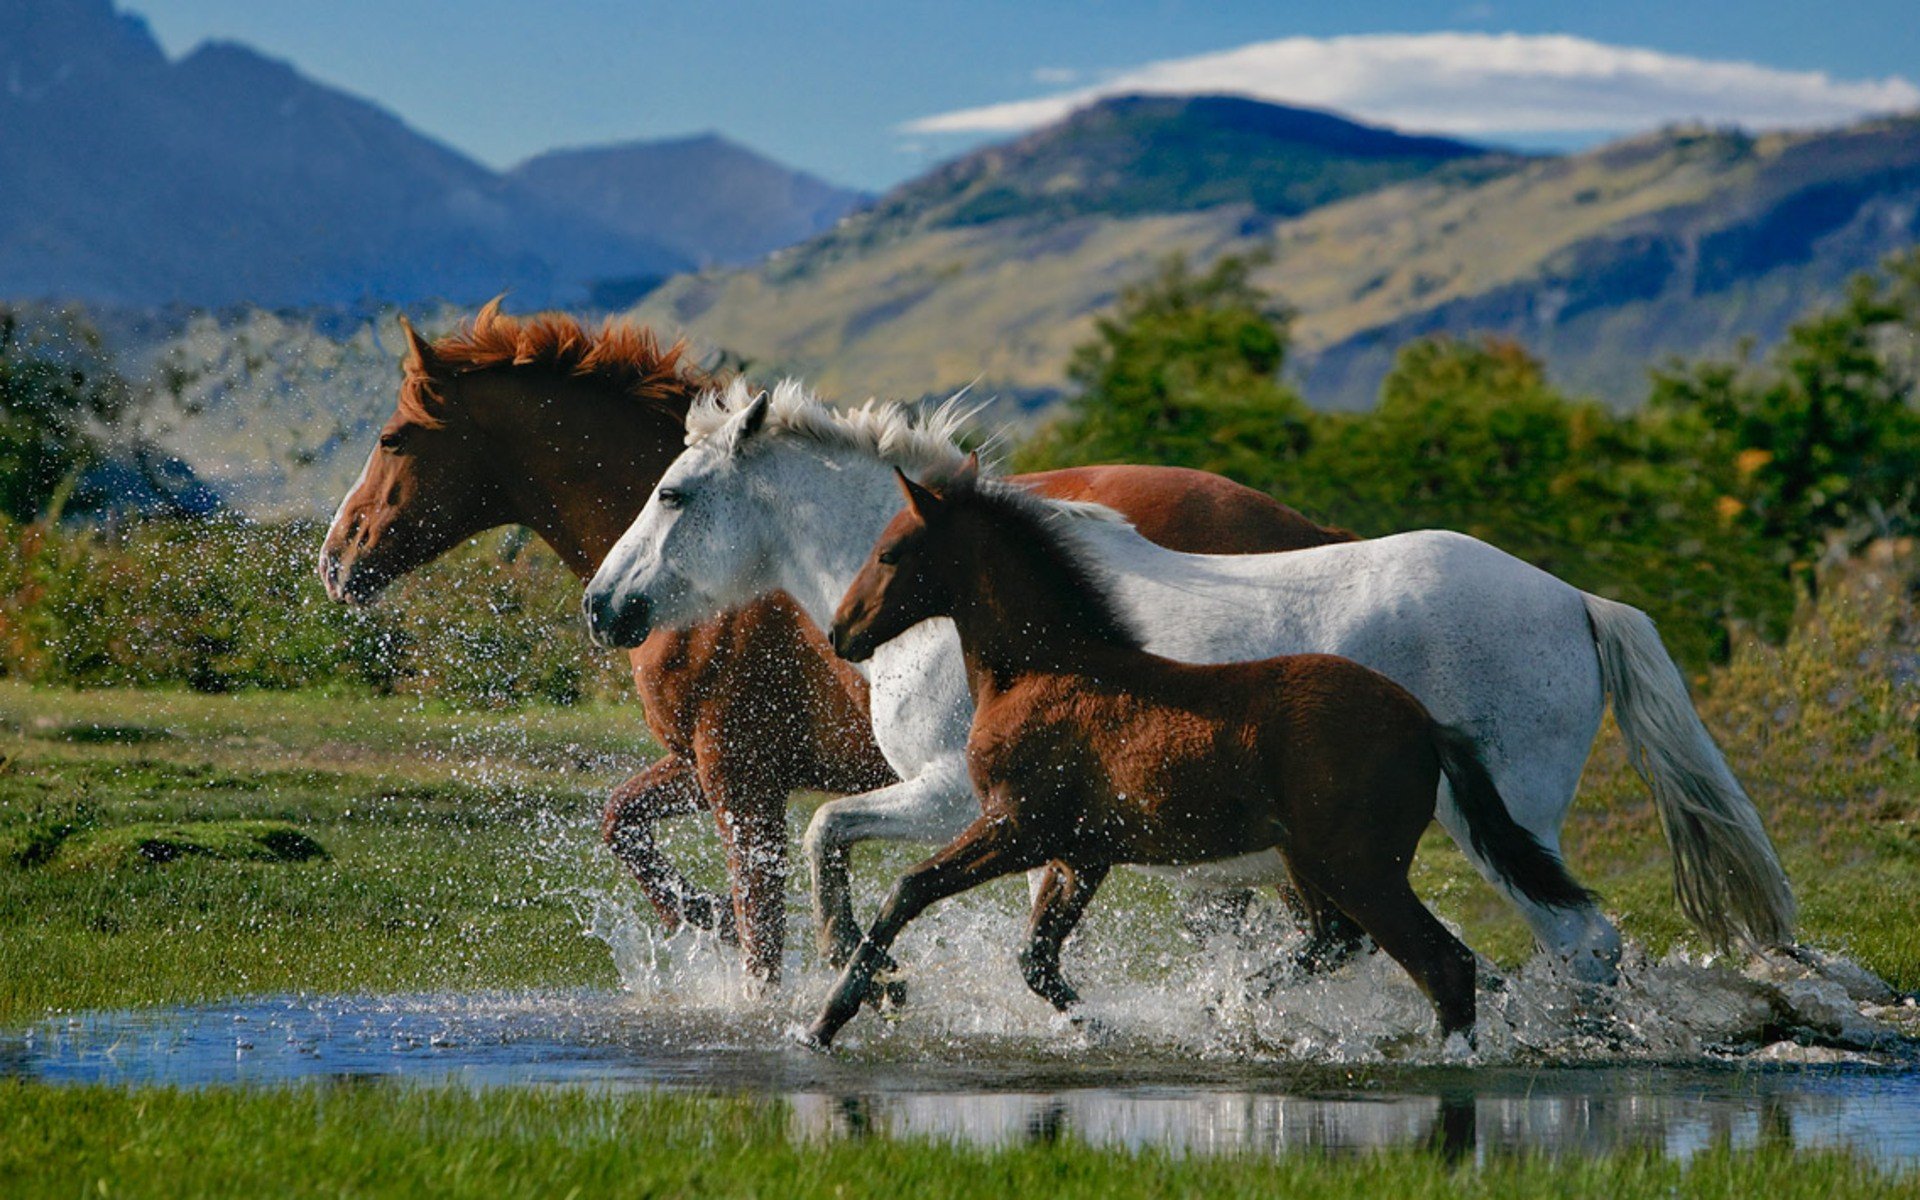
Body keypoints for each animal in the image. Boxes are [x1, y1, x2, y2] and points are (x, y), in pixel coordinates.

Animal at [317, 301, 1352, 984]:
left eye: (394, 436)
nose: (335, 560)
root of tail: (1308, 531)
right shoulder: (715, 765)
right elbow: (625, 824)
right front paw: (705, 919)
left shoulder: (738, 773)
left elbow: (763, 927)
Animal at [582, 381, 1794, 984]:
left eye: (676, 493)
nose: (604, 607)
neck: (975, 610)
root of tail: (1575, 600)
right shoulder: (1051, 824)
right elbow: (1034, 931)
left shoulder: (956, 795)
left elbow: (829, 829)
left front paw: (863, 973)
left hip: (1503, 827)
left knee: (1580, 944)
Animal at [802, 462, 1593, 1049]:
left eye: (890, 552)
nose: (843, 632)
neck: (1048, 669)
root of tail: (1426, 724)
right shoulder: (1081, 852)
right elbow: (1037, 959)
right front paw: (1099, 1026)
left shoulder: (1015, 826)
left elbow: (906, 892)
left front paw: (829, 1017)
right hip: (1313, 865)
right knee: (1343, 942)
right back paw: (1235, 1002)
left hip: (1359, 867)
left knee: (1444, 963)